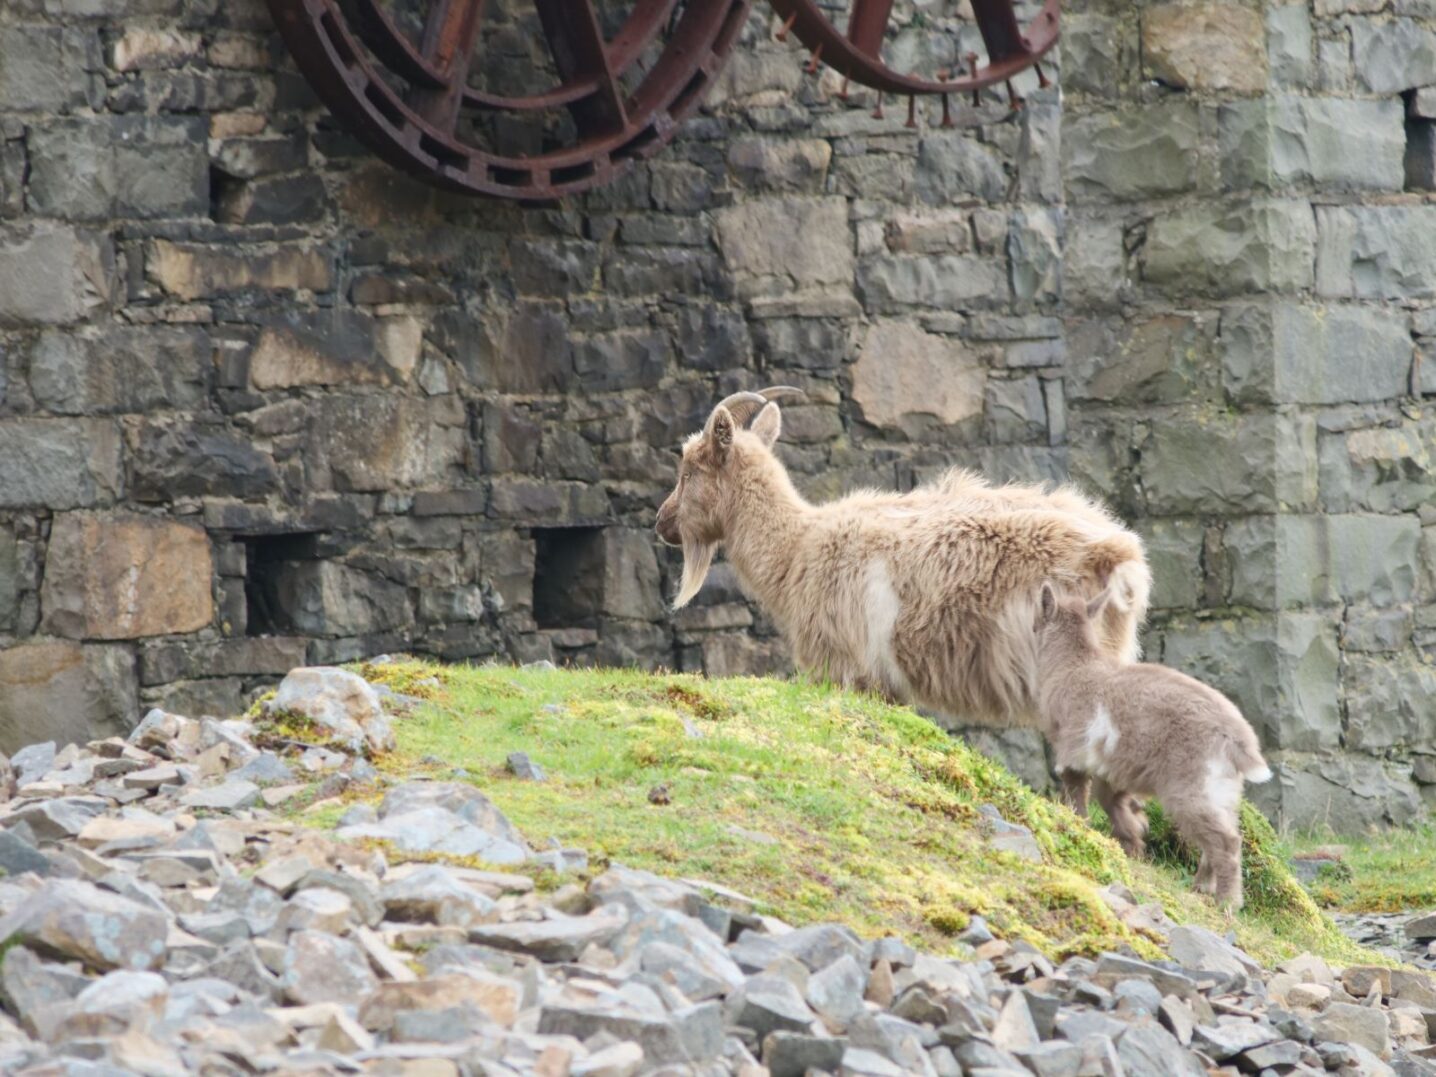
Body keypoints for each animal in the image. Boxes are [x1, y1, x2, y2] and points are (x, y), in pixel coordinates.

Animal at [1032, 583, 1272, 907]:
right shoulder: (1114, 764)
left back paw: (1227, 901)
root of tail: (1239, 739)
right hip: (1224, 792)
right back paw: (1201, 887)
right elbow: (1112, 800)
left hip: (1191, 787)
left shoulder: (1074, 749)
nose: (1031, 628)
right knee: (1224, 833)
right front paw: (1133, 840)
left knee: (1227, 841)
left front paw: (1080, 825)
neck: (1072, 665)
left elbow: (1078, 794)